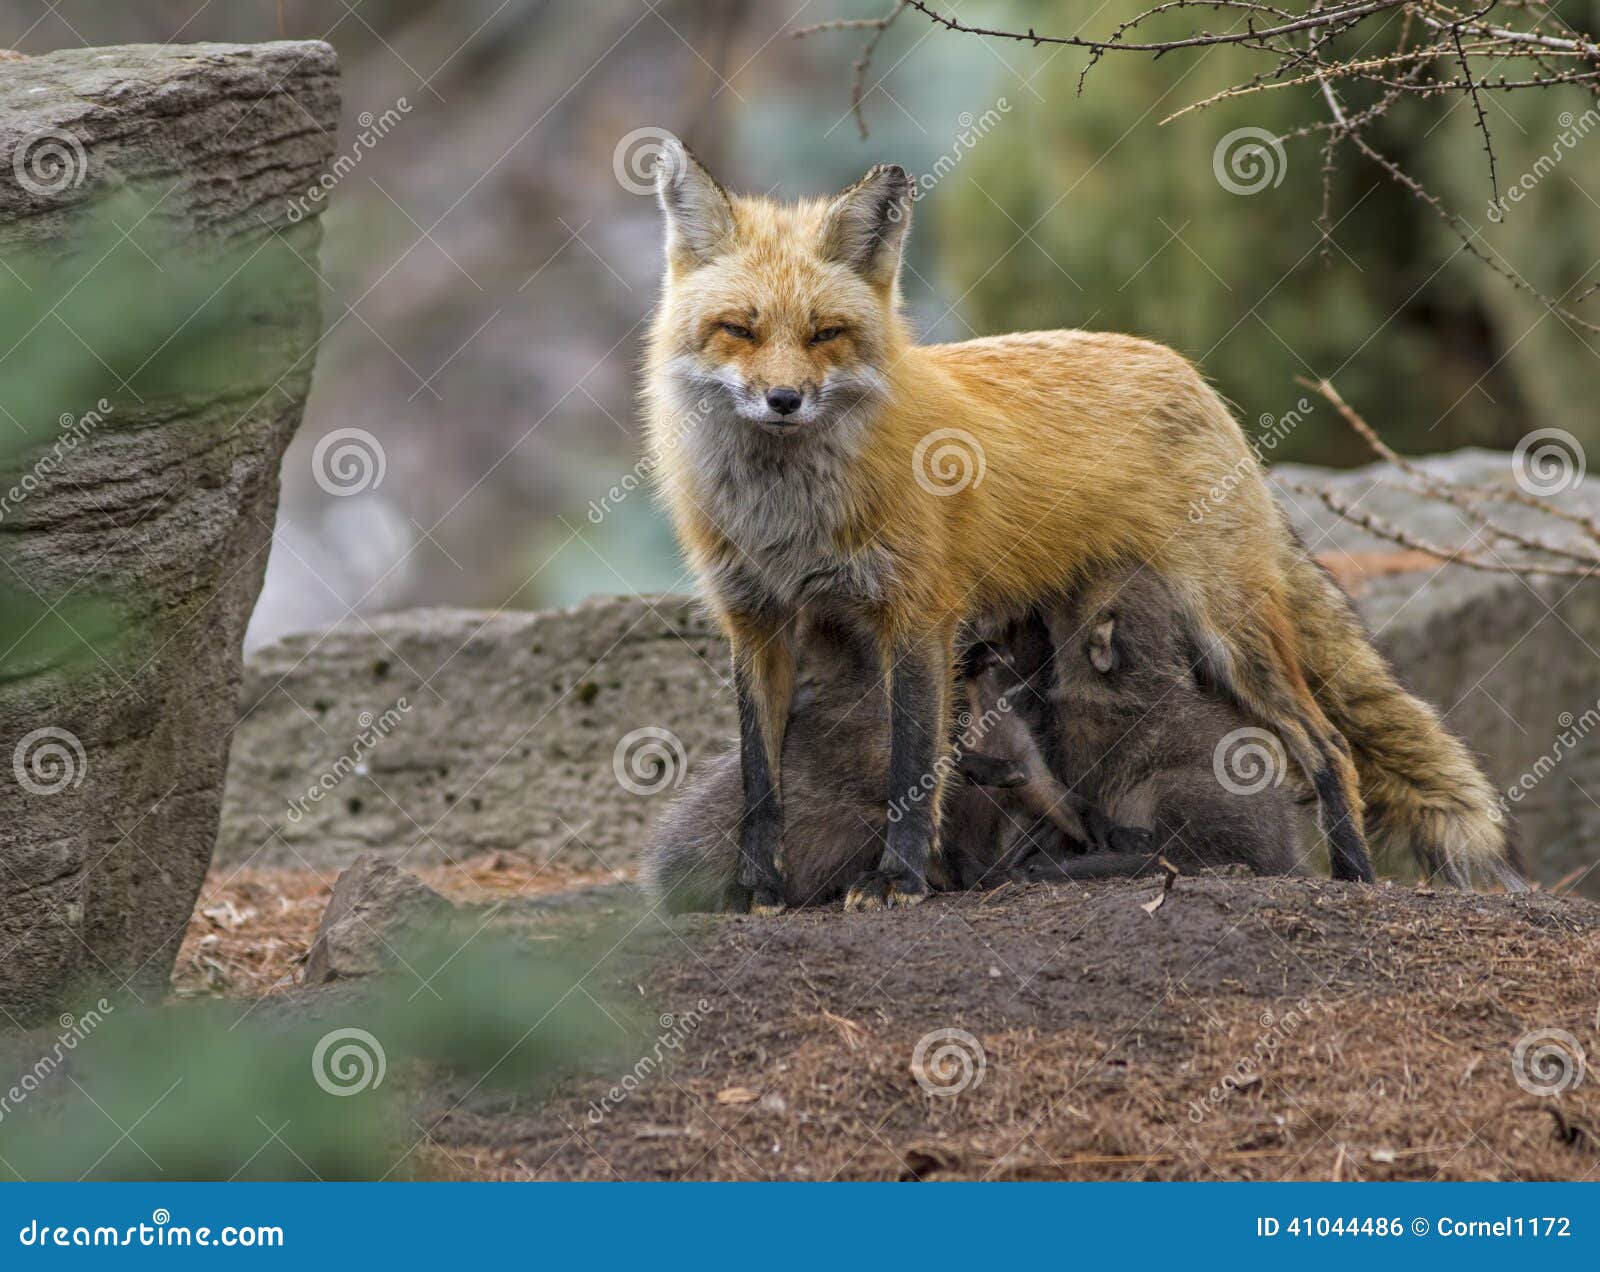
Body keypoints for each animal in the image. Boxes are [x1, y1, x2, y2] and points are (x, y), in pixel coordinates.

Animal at [642, 141, 1521, 914]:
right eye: (739, 328)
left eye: (825, 332)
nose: (784, 400)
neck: (789, 514)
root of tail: (1191, 374)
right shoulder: (755, 619)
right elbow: (762, 780)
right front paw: (756, 890)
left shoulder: (917, 615)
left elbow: (910, 769)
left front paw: (897, 881)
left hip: (1228, 633)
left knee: (1328, 746)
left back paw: (1351, 879)